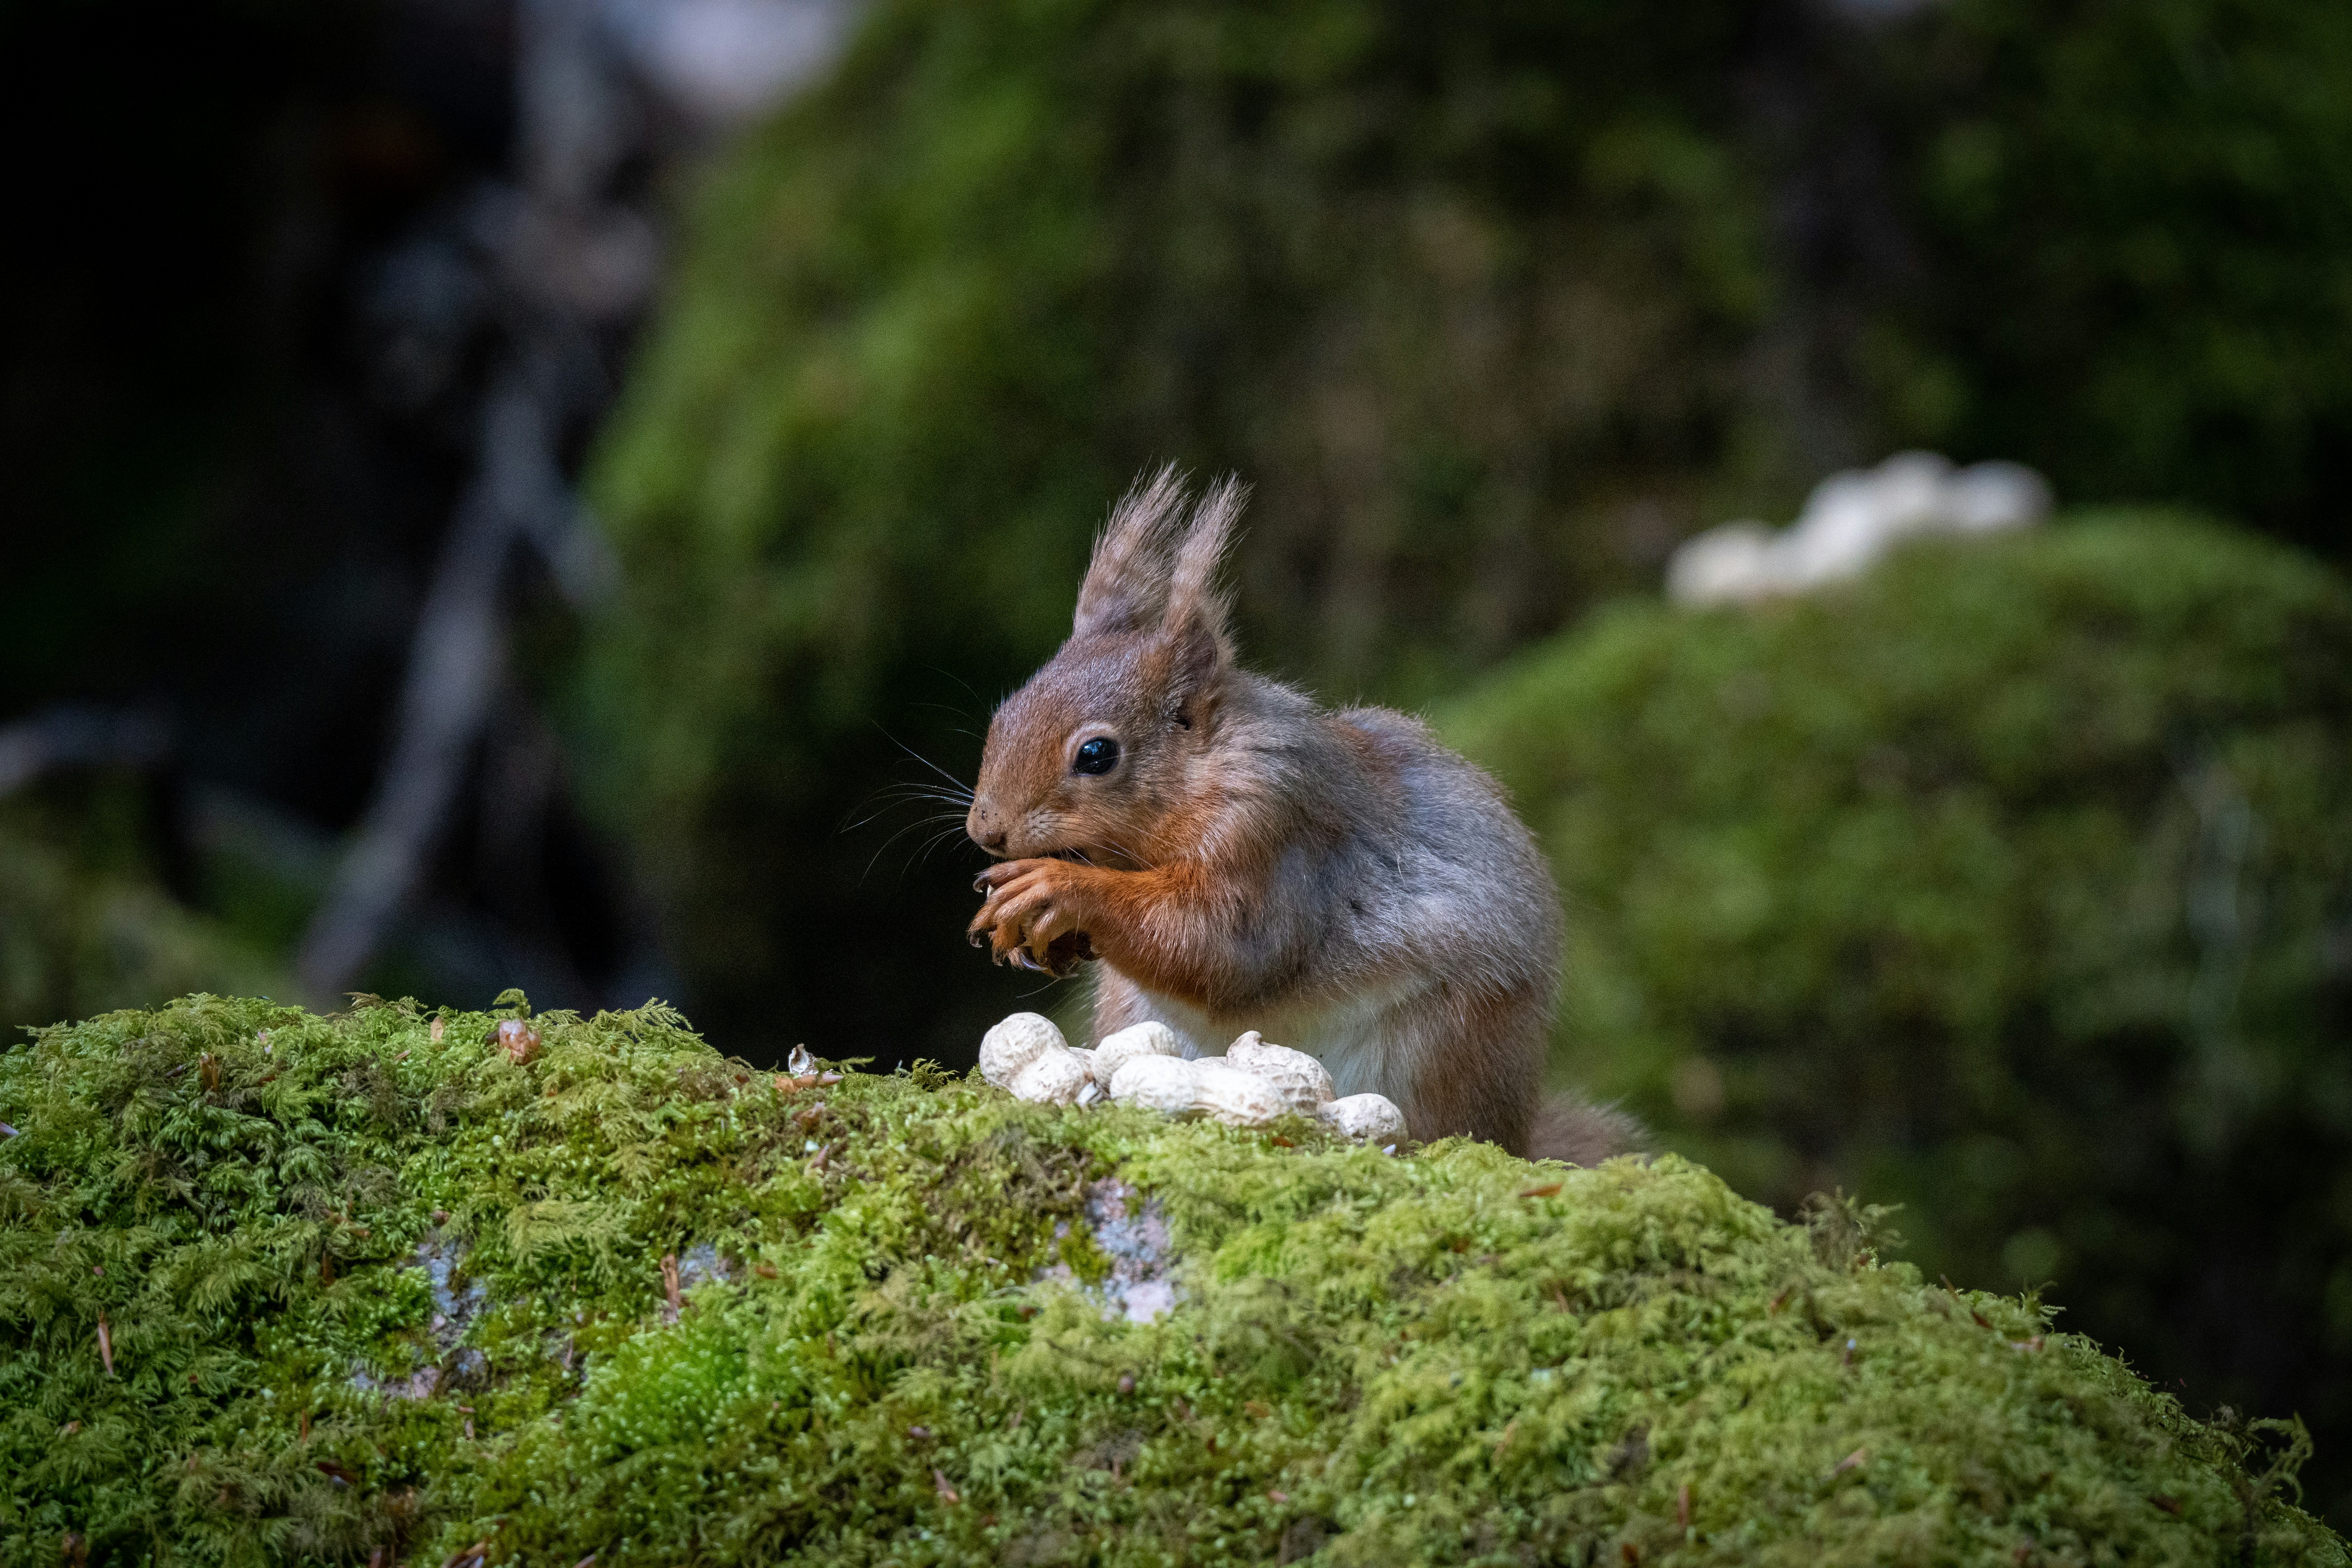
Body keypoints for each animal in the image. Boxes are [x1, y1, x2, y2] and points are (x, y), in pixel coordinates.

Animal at [965, 469, 1639, 1162]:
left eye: (1096, 754)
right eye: (1006, 711)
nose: (985, 830)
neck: (1203, 778)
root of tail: (1515, 1131)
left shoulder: (1273, 836)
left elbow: (1219, 947)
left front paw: (1059, 888)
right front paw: (1042, 934)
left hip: (1439, 1053)